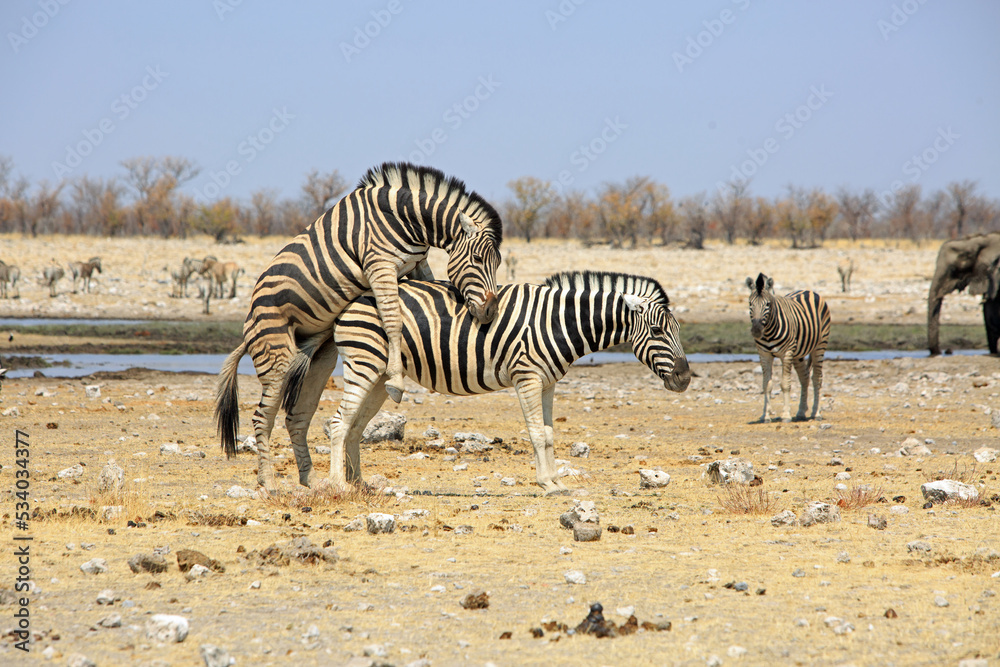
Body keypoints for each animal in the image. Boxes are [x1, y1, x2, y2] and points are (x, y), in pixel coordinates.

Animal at [215, 162, 503, 491]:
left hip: (318, 362)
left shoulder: (416, 264)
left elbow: (431, 287)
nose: (490, 312)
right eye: (478, 259)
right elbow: (392, 318)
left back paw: (310, 479)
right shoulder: (380, 266)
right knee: (263, 417)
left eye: (498, 262)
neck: (406, 217)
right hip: (275, 357)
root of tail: (247, 327)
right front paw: (395, 379)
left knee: (296, 418)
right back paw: (268, 482)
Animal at [275, 270, 692, 495]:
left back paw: (361, 484)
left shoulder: (548, 383)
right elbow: (536, 434)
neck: (559, 322)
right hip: (364, 362)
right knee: (338, 423)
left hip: (381, 377)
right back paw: (339, 485)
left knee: (355, 426)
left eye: (677, 330)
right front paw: (546, 483)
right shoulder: (527, 376)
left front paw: (557, 482)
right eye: (657, 331)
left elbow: (549, 433)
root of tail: (348, 302)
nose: (685, 378)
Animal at [745, 273, 831, 423]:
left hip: (820, 345)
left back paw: (816, 413)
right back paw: (801, 412)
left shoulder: (786, 353)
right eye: (750, 304)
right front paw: (765, 415)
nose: (756, 331)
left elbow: (785, 384)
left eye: (767, 304)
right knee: (804, 377)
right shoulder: (764, 354)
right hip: (798, 354)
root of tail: (808, 290)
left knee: (817, 378)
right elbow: (766, 385)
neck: (768, 333)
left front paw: (785, 415)